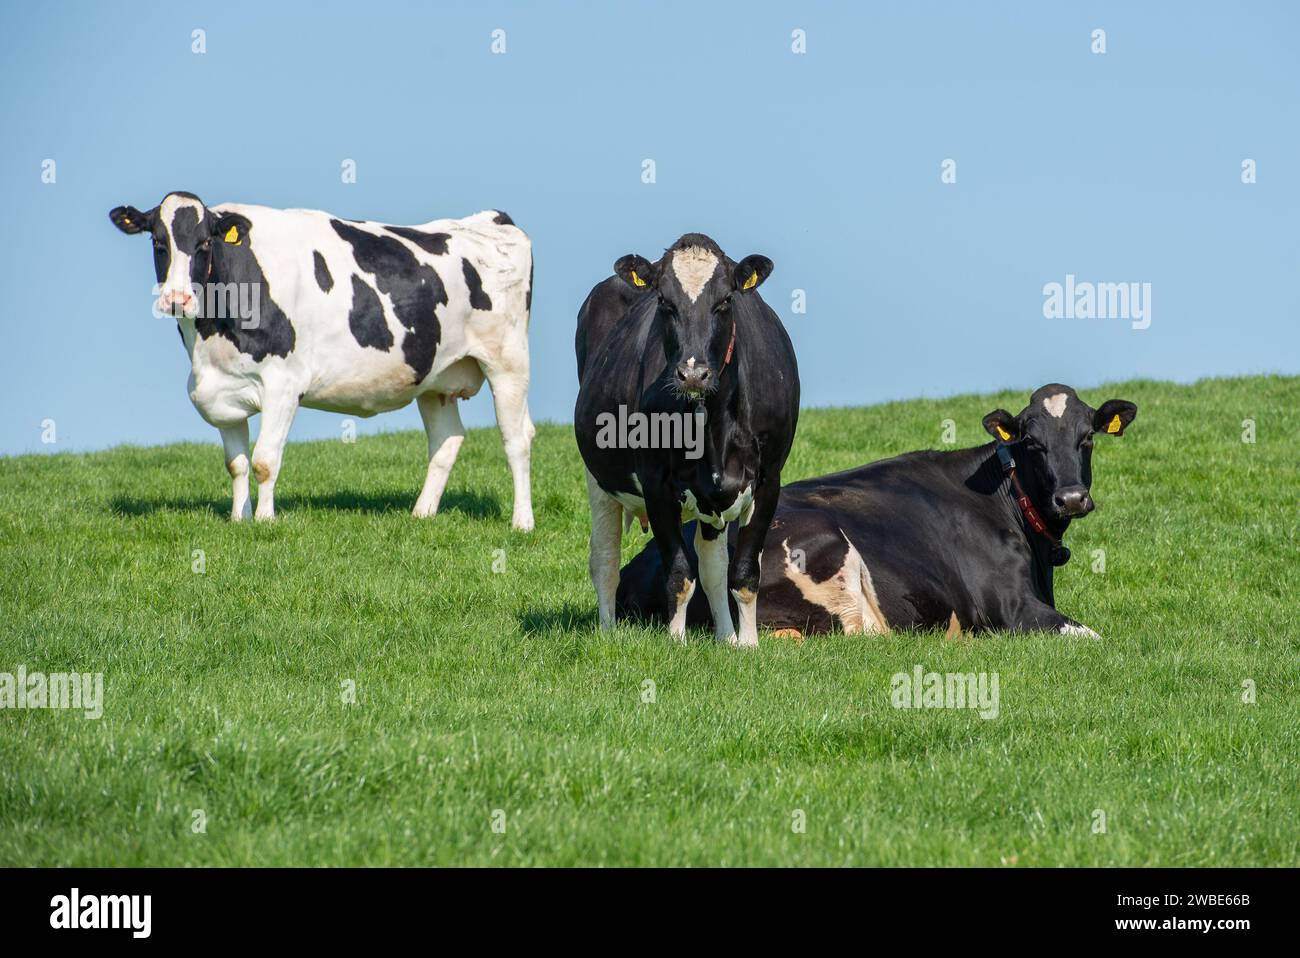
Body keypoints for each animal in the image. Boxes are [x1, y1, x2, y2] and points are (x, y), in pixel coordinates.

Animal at [109, 192, 535, 528]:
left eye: (202, 244)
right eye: (158, 242)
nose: (176, 299)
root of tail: (492, 219)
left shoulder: (283, 383)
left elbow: (264, 460)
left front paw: (265, 521)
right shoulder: (221, 389)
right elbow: (237, 464)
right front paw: (239, 519)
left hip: (508, 362)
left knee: (517, 438)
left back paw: (522, 522)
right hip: (435, 377)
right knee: (447, 441)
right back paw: (422, 514)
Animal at [575, 233, 800, 647]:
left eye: (725, 300)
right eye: (665, 301)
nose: (693, 374)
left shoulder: (768, 479)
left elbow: (742, 573)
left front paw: (747, 644)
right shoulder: (656, 484)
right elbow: (679, 574)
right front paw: (676, 643)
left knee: (713, 565)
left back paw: (725, 636)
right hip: (598, 475)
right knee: (604, 557)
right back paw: (608, 631)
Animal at [617, 384, 1137, 639]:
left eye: (1087, 438)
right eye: (1032, 442)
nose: (1071, 498)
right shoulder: (1011, 609)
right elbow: (1095, 637)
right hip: (824, 546)